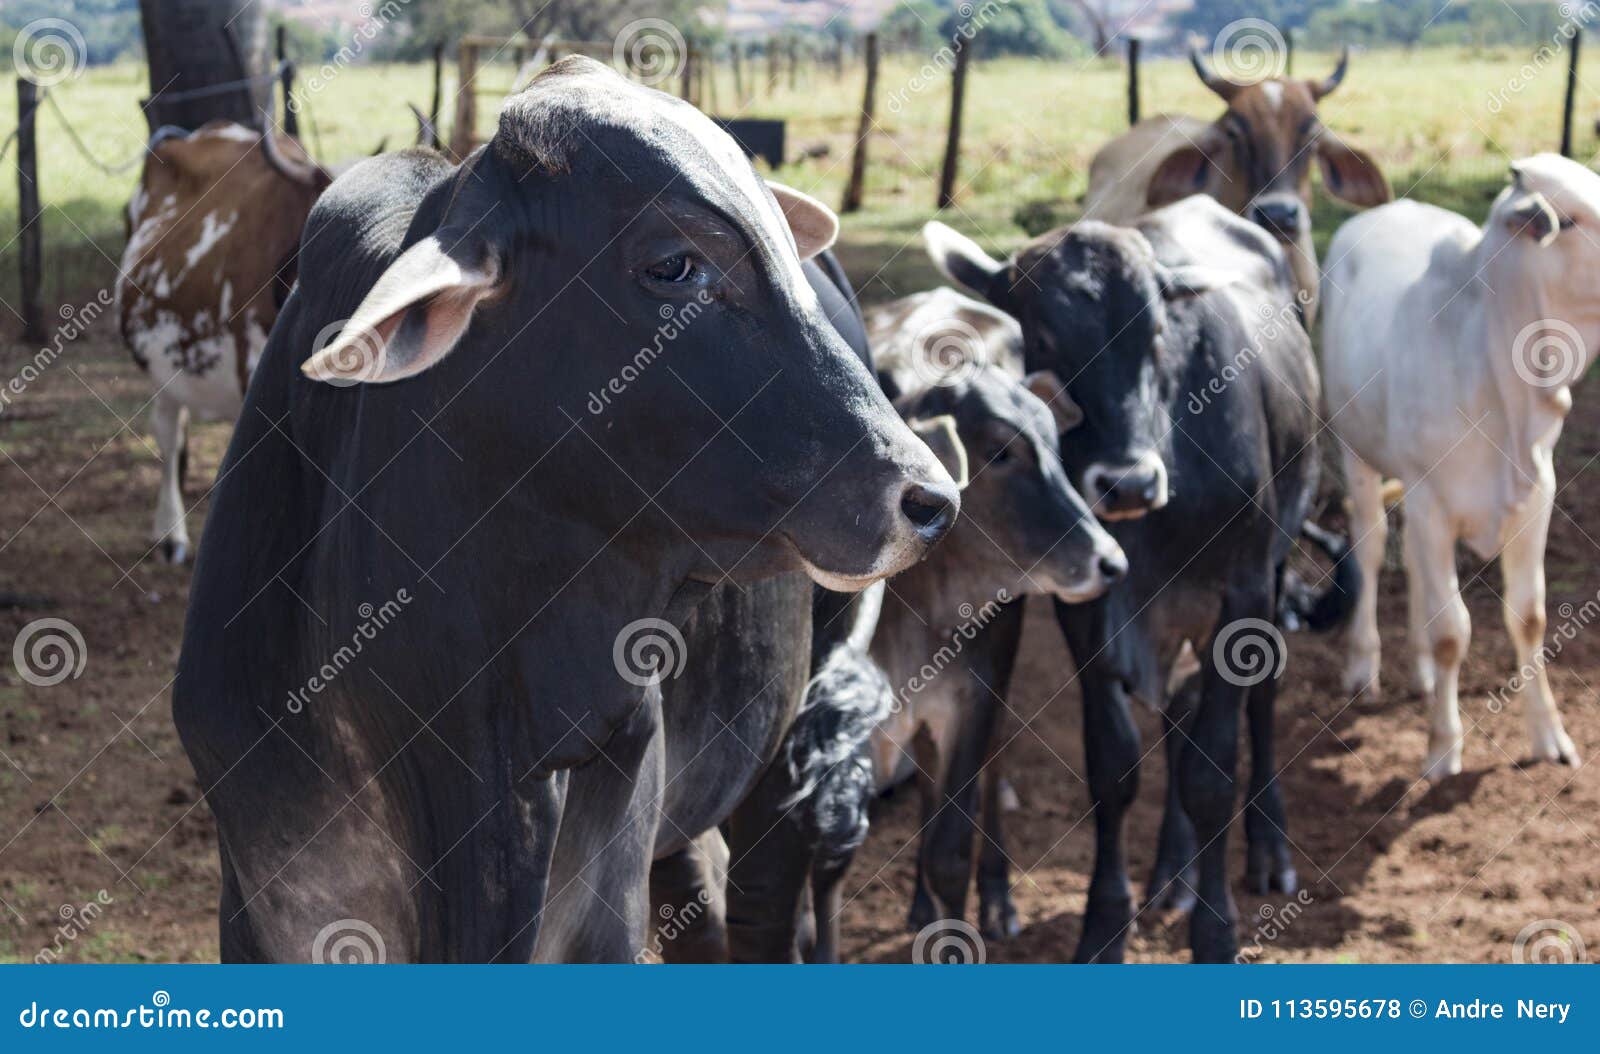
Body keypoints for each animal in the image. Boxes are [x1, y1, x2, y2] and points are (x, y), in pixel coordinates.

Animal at [923, 195, 1354, 962]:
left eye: (1154, 331)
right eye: (1044, 335)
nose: (1125, 482)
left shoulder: (1242, 594)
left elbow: (1213, 771)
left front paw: (1215, 931)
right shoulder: (1088, 605)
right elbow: (1115, 768)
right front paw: (1105, 923)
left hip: (1271, 571)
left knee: (1261, 707)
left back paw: (1266, 852)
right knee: (1179, 717)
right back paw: (1169, 876)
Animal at [1324, 155, 1590, 779]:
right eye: (1571, 220)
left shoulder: (1536, 495)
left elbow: (1529, 617)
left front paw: (1549, 736)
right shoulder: (1430, 501)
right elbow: (1454, 631)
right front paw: (1444, 747)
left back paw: (1420, 668)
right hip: (1355, 451)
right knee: (1372, 546)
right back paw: (1364, 665)